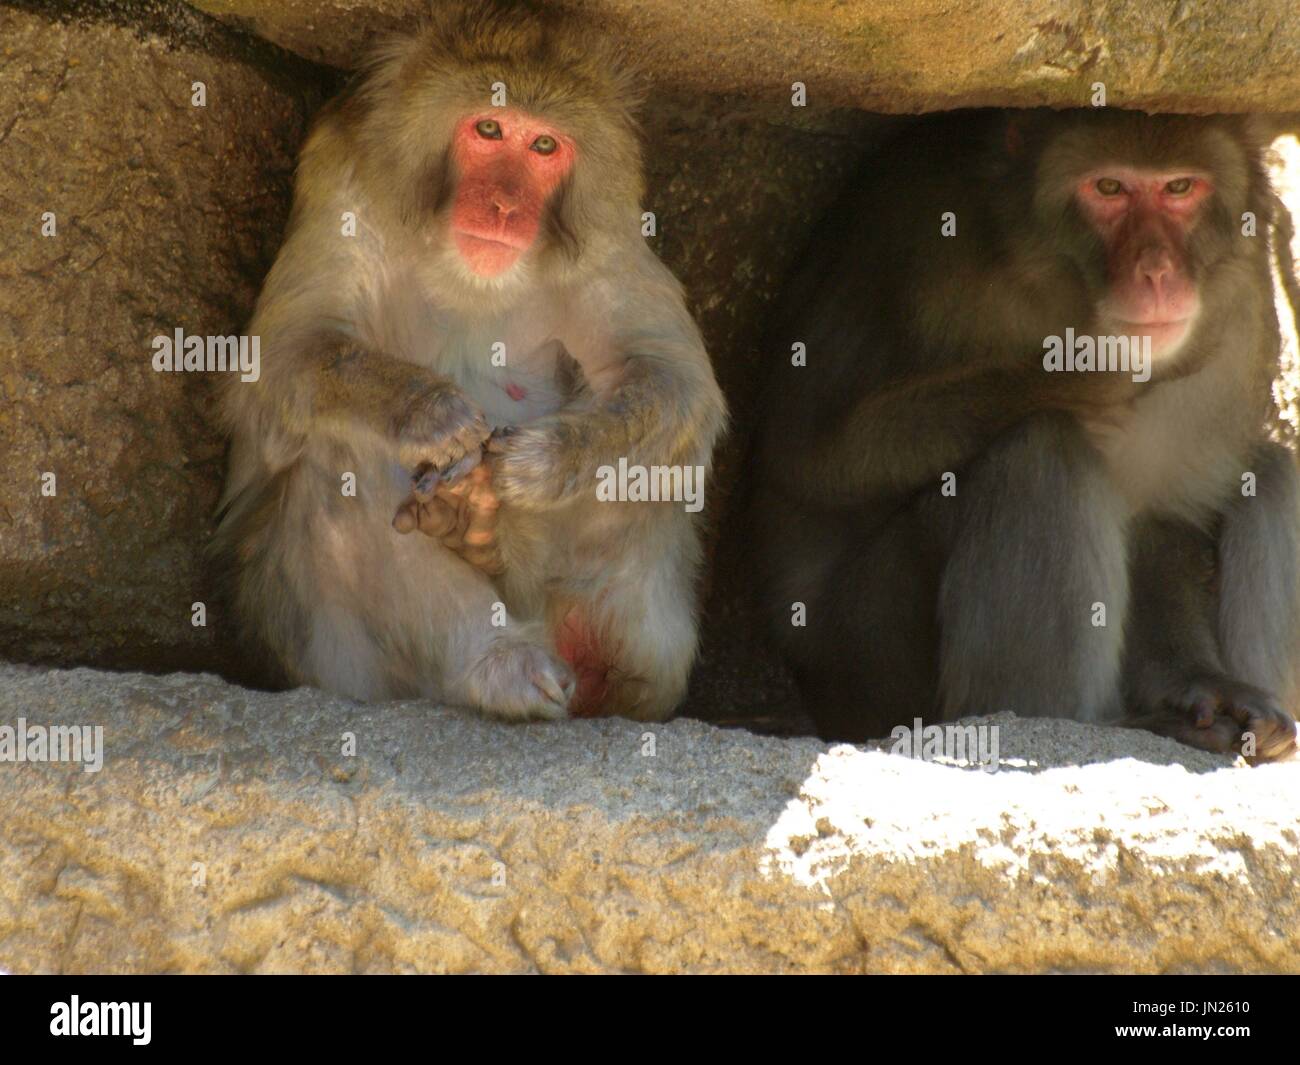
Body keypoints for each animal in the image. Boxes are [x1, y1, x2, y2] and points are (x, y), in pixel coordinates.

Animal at [213, 3, 726, 722]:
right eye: (489, 129)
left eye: (544, 147)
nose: (506, 206)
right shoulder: (343, 182)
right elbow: (284, 354)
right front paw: (427, 411)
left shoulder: (606, 232)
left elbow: (672, 379)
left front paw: (546, 459)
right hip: (330, 658)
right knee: (340, 458)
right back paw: (498, 659)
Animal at [753, 108, 1300, 762]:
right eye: (1108, 188)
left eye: (1179, 188)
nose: (1157, 272)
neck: (1059, 282)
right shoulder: (910, 232)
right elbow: (808, 454)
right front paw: (1077, 382)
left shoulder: (1236, 313)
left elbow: (1160, 519)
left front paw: (1200, 682)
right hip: (861, 654)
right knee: (1040, 451)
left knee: (1270, 472)